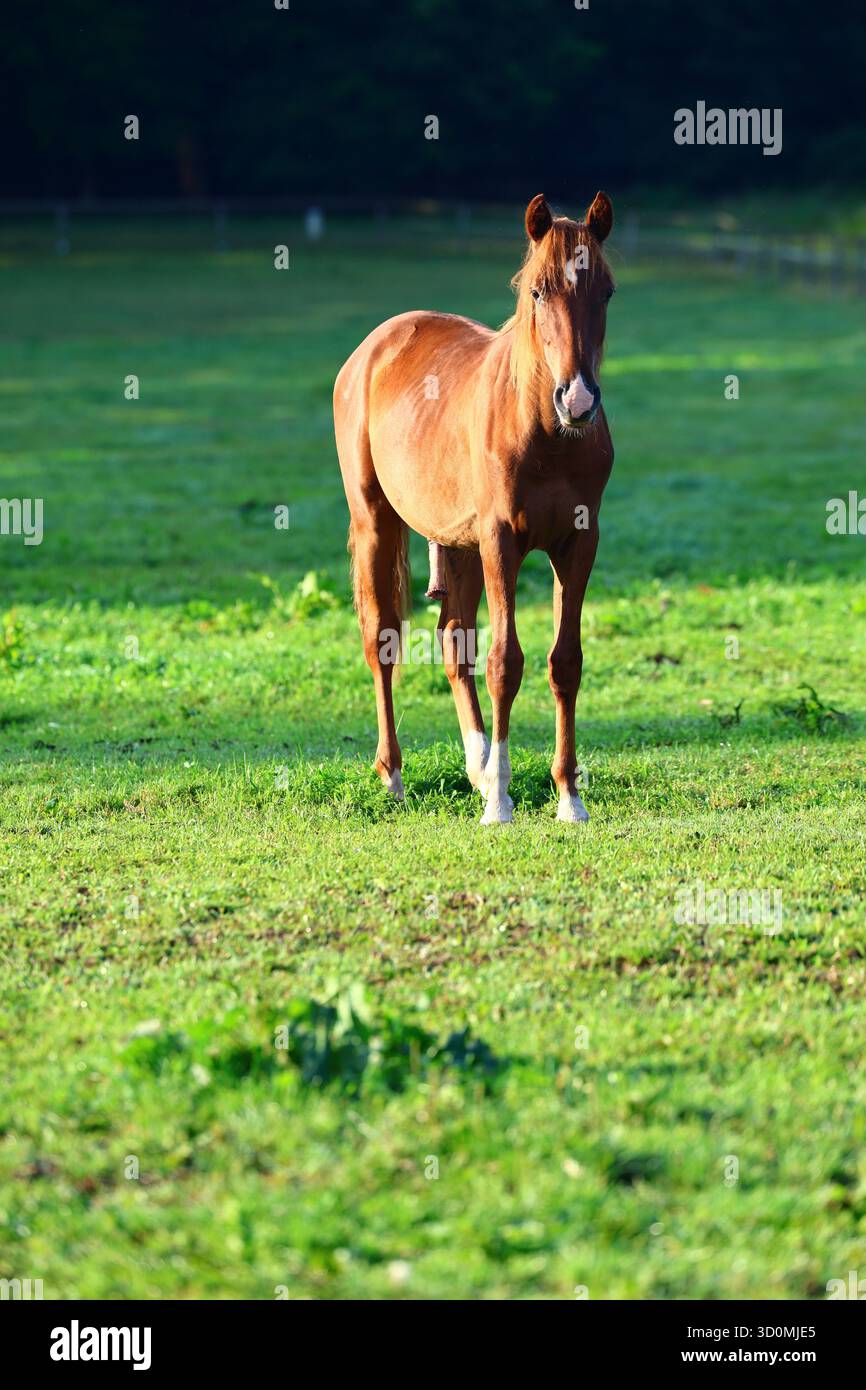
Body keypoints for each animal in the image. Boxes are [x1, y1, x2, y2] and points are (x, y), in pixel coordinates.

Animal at [334, 191, 615, 824]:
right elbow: (505, 662)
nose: (578, 400)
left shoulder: (578, 543)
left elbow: (566, 662)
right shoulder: (500, 540)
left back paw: (478, 769)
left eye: (606, 291)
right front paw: (502, 805)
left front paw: (568, 797)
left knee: (451, 640)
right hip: (377, 523)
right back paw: (394, 776)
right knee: (382, 638)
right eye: (537, 291)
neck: (545, 432)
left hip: (457, 544)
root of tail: (372, 349)